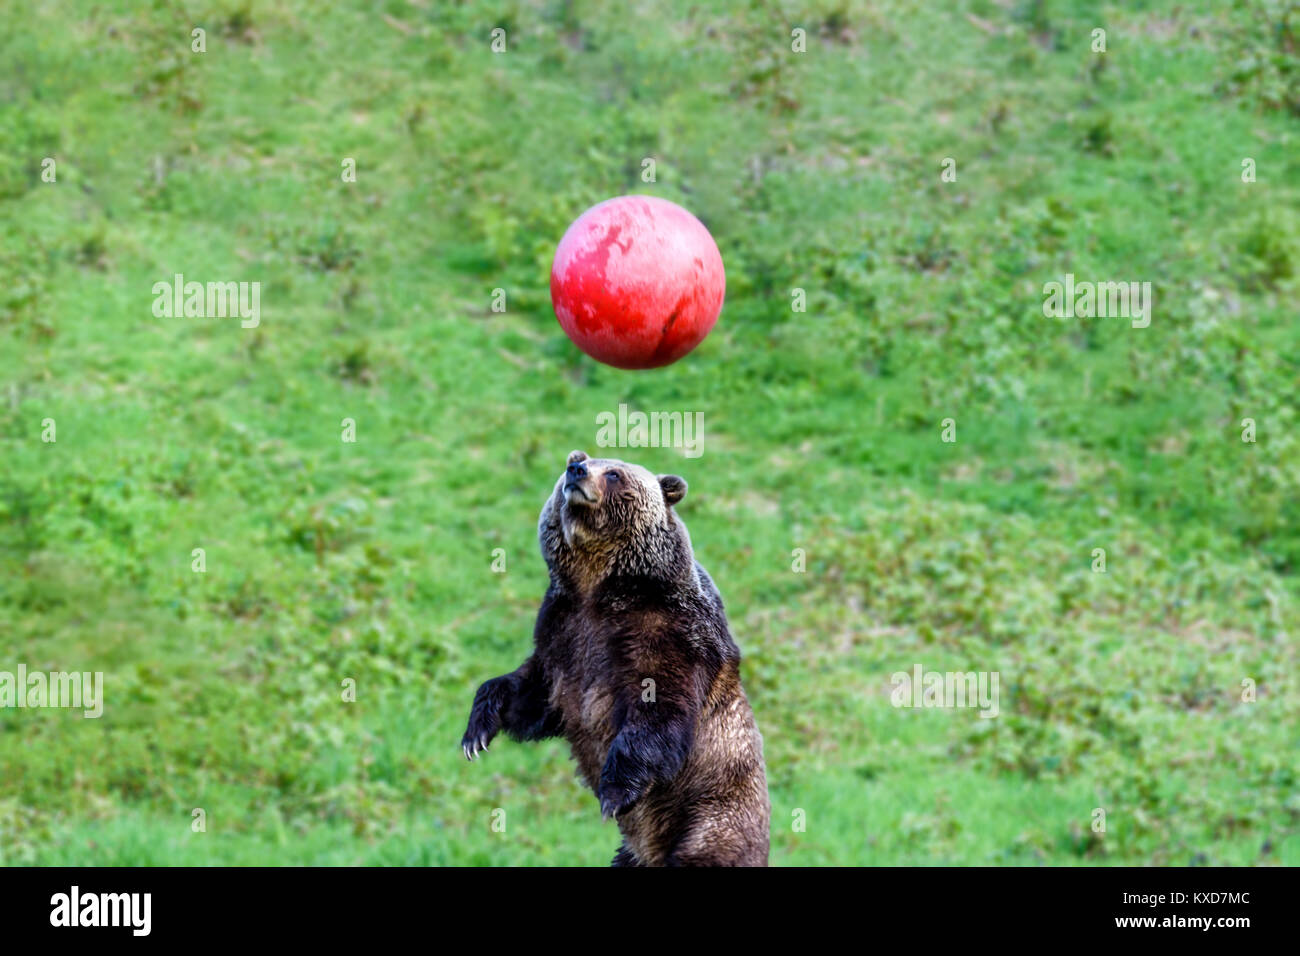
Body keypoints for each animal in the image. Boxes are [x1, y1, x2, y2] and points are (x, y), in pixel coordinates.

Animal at [461, 450, 770, 866]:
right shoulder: (562, 632)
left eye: (613, 473)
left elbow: (657, 714)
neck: (597, 585)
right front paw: (476, 732)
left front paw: (613, 794)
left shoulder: (670, 634)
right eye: (577, 457)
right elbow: (531, 693)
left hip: (713, 814)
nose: (575, 470)